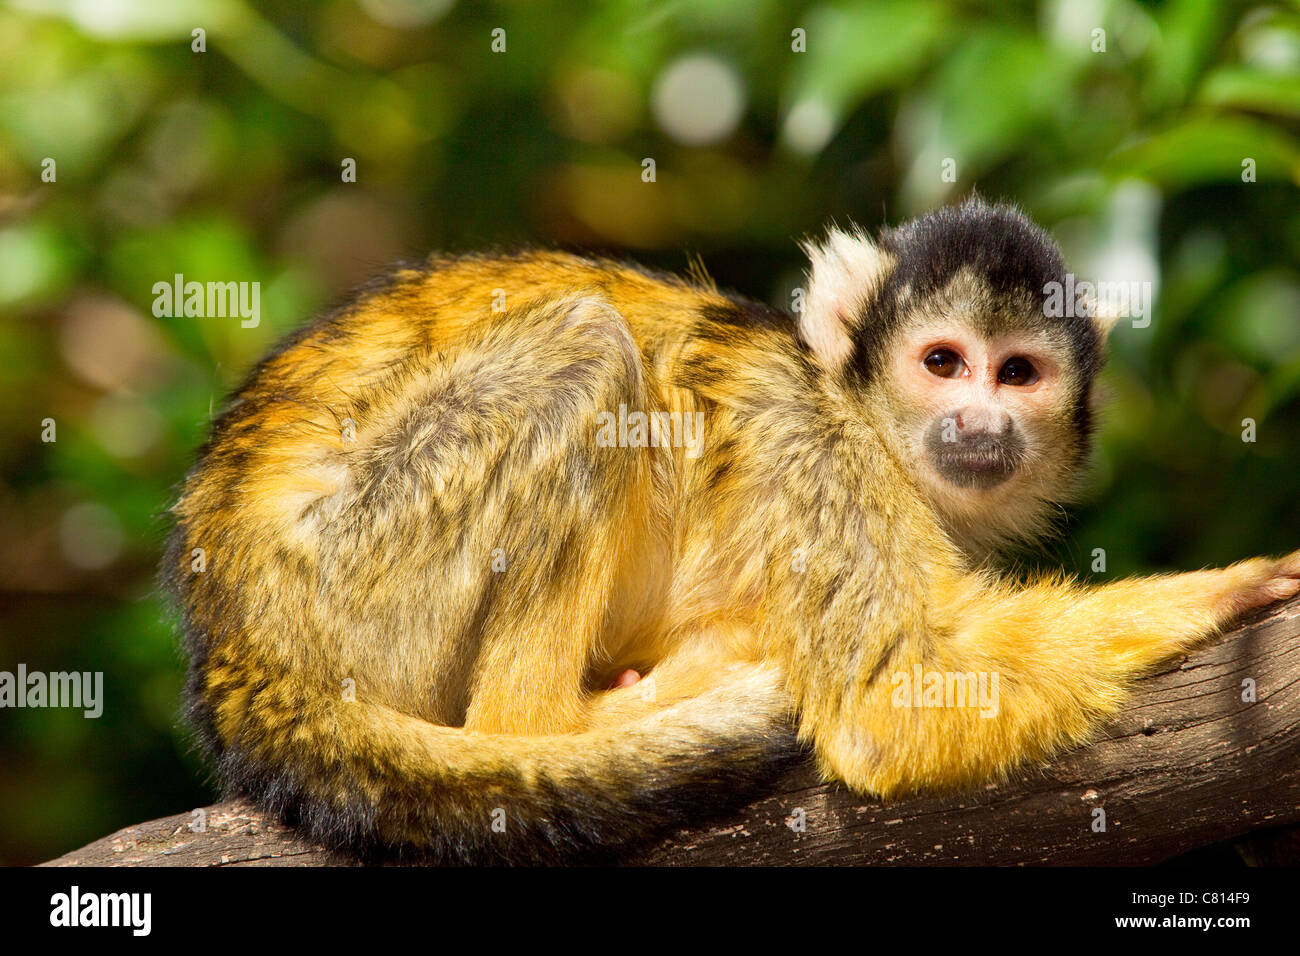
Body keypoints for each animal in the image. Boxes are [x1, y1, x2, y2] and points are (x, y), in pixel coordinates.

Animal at [166, 196, 1300, 864]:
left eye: (1016, 373)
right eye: (942, 362)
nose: (979, 422)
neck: (855, 414)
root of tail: (235, 649)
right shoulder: (816, 452)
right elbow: (887, 703)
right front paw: (1226, 585)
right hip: (350, 566)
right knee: (586, 343)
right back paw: (565, 717)